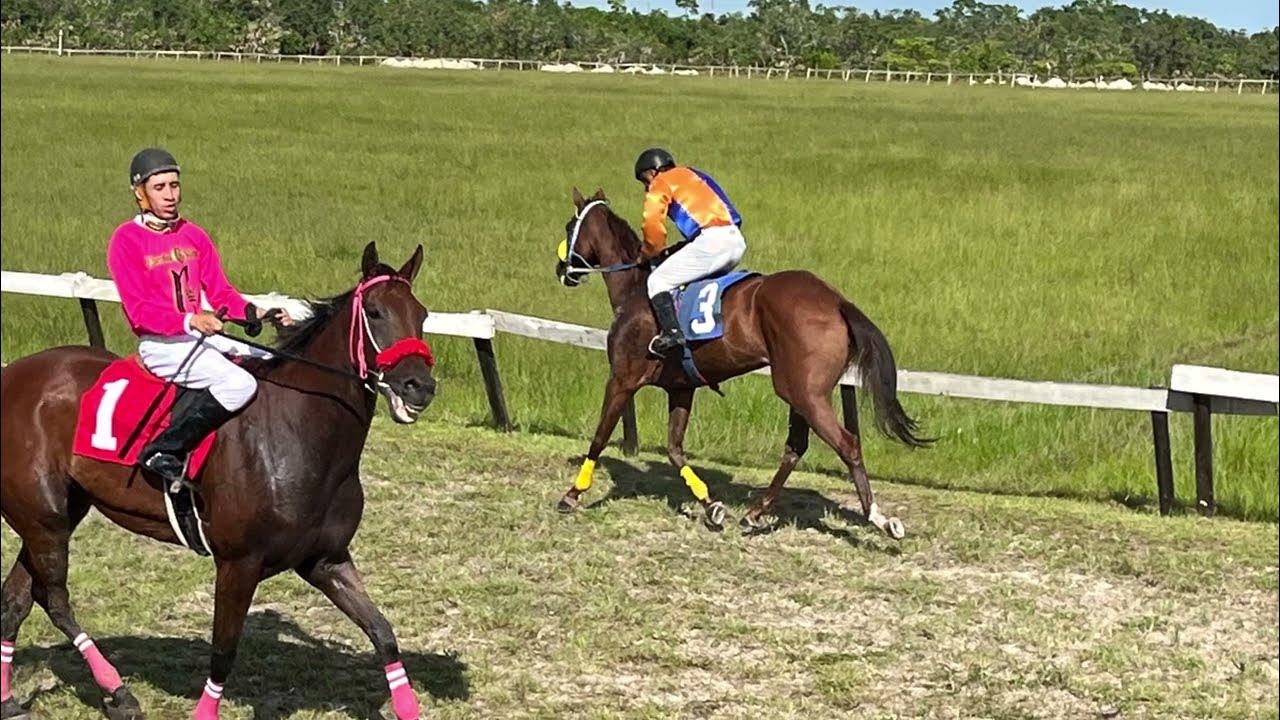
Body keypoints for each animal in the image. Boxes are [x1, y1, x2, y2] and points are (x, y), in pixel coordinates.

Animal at [1, 243, 437, 720]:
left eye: (422, 313)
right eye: (375, 312)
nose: (418, 386)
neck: (296, 431)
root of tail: (11, 375)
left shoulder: (325, 559)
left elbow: (383, 632)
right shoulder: (238, 564)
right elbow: (224, 654)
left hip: (56, 512)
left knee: (16, 599)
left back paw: (10, 698)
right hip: (44, 517)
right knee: (54, 598)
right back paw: (118, 691)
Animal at [553, 188, 930, 538]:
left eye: (571, 225)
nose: (561, 269)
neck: (636, 290)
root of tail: (836, 300)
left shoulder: (622, 378)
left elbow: (600, 437)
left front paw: (572, 494)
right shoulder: (681, 388)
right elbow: (675, 450)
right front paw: (711, 505)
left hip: (804, 392)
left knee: (846, 444)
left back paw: (878, 517)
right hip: (799, 390)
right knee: (796, 447)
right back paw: (756, 513)